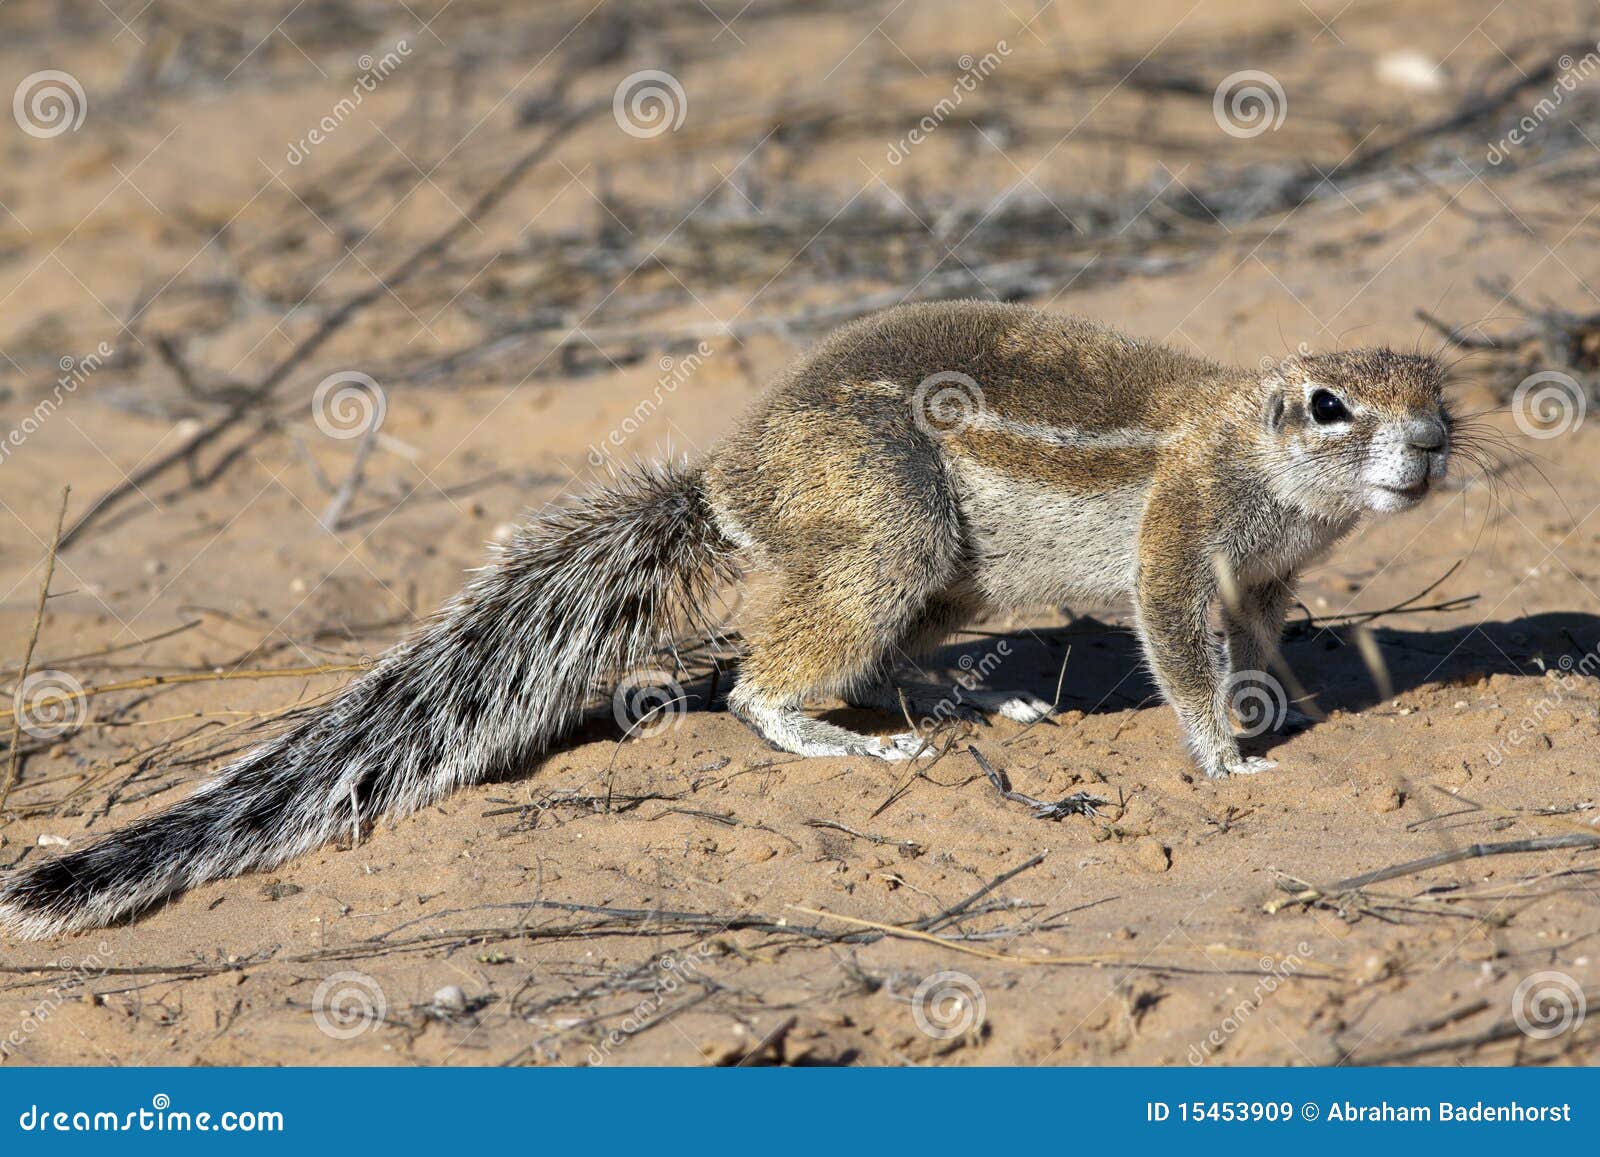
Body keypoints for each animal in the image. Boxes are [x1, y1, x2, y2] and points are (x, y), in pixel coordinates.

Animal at [0, 300, 1452, 939]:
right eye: (1330, 403)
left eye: (1438, 384)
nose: (1434, 445)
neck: (1263, 463)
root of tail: (725, 480)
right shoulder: (1180, 536)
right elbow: (1179, 643)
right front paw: (1226, 755)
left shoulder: (1263, 576)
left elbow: (1258, 637)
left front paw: (1297, 701)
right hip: (893, 523)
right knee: (769, 677)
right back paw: (841, 737)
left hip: (944, 564)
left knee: (897, 645)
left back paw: (971, 696)